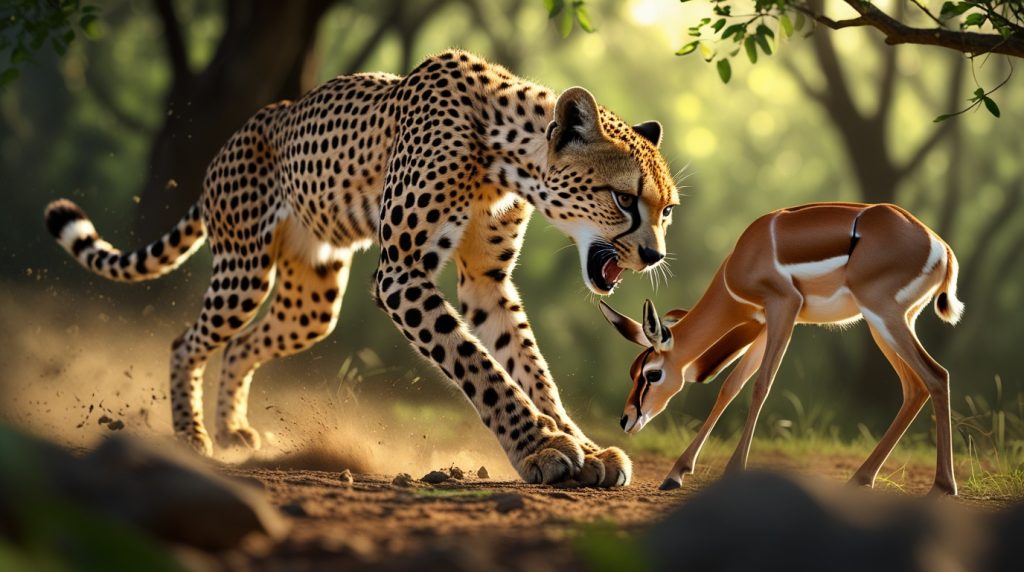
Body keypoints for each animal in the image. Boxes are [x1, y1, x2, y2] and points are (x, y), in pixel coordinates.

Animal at [599, 202, 964, 495]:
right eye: (633, 371)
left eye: (652, 374)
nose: (627, 419)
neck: (743, 258)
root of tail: (942, 248)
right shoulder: (763, 322)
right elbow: (731, 386)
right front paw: (675, 474)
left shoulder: (784, 306)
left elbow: (761, 385)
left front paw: (732, 470)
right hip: (886, 323)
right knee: (915, 387)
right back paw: (861, 479)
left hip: (884, 315)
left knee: (937, 375)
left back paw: (943, 486)